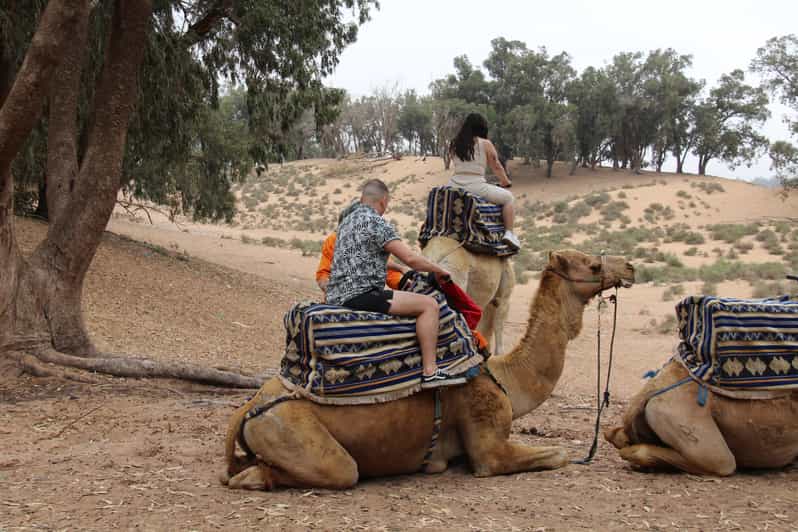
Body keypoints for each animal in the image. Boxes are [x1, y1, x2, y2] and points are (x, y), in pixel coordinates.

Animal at [220, 250, 635, 490]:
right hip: (294, 432)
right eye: (594, 265)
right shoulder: (488, 445)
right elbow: (557, 455)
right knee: (336, 470)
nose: (629, 266)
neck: (504, 378)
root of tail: (249, 407)